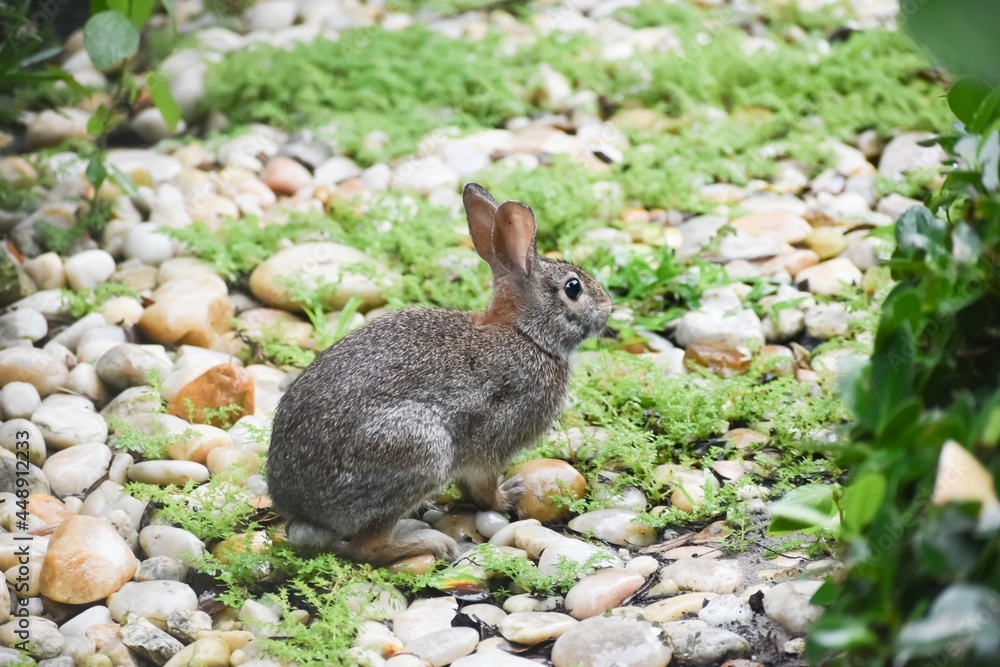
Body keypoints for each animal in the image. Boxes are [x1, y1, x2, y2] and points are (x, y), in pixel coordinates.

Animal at [266, 183, 613, 566]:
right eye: (573, 288)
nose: (609, 306)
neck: (526, 334)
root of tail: (306, 515)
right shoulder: (494, 440)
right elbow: (484, 487)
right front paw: (509, 496)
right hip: (420, 449)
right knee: (365, 549)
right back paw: (433, 544)